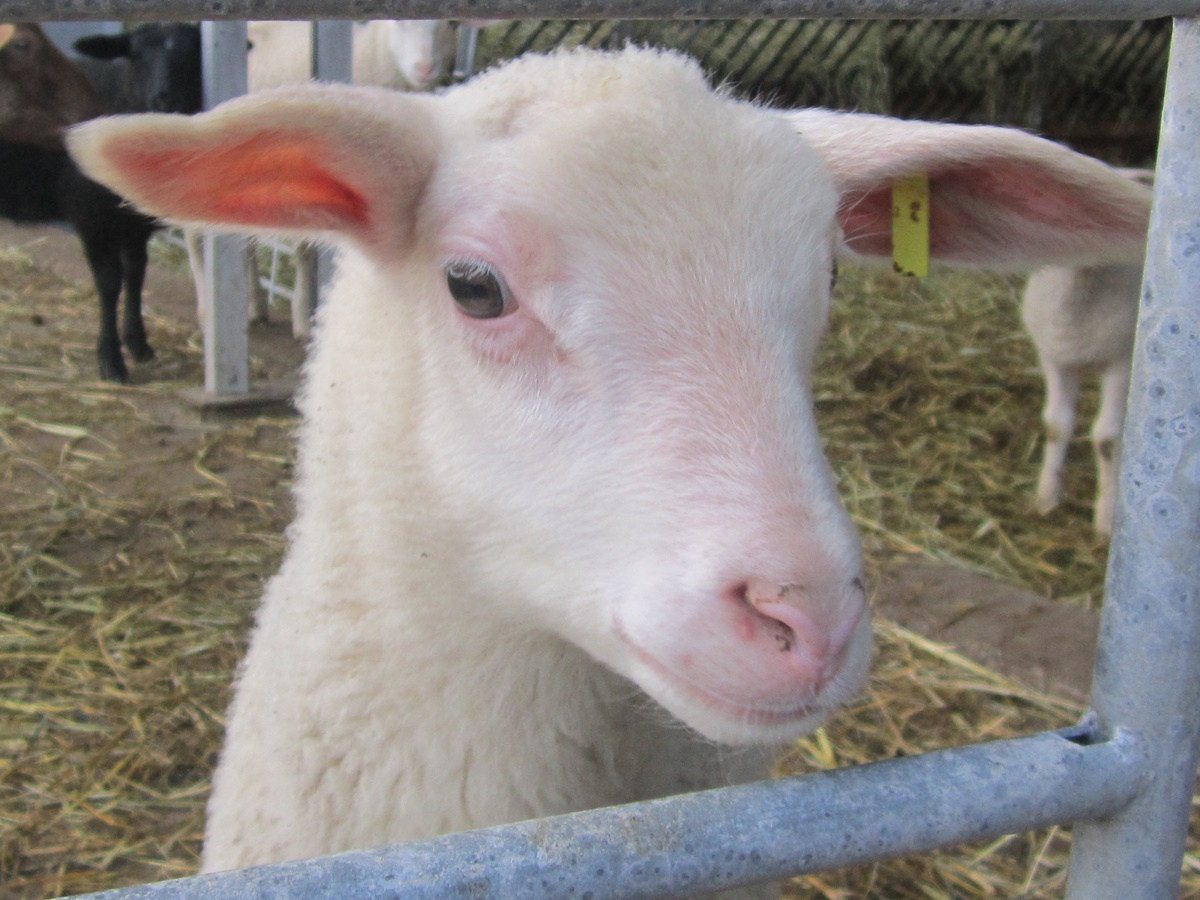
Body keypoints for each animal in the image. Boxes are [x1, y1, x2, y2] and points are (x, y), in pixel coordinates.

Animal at [1021, 170, 1152, 538]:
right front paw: (1046, 498)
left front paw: (1106, 518)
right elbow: (1055, 425)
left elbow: (1106, 438)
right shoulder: (1055, 358)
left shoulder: (1121, 364)